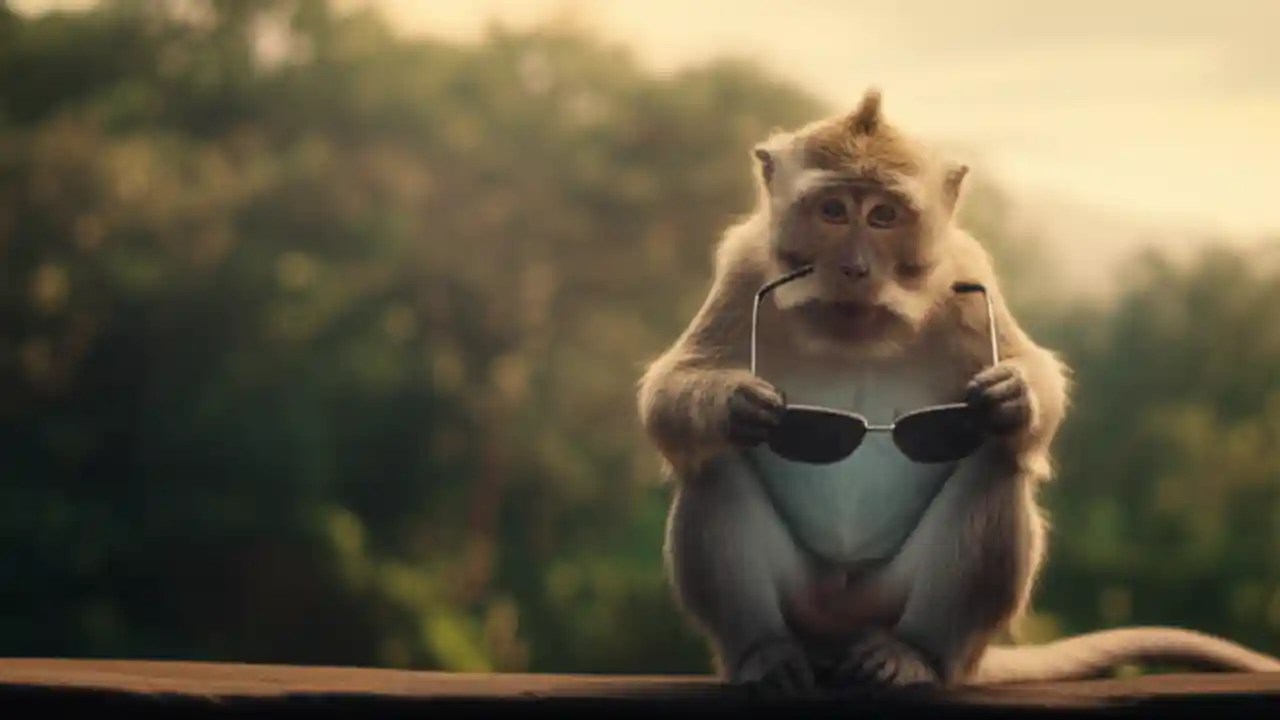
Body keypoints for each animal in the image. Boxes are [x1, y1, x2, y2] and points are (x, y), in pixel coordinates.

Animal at [635, 88, 1280, 694]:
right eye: (833, 210)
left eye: (883, 216)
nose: (855, 268)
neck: (858, 326)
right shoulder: (743, 271)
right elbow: (671, 392)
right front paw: (733, 403)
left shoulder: (970, 275)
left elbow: (1030, 380)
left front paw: (1015, 396)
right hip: (807, 604)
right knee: (712, 464)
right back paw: (763, 652)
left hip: (895, 606)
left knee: (995, 460)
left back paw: (913, 654)